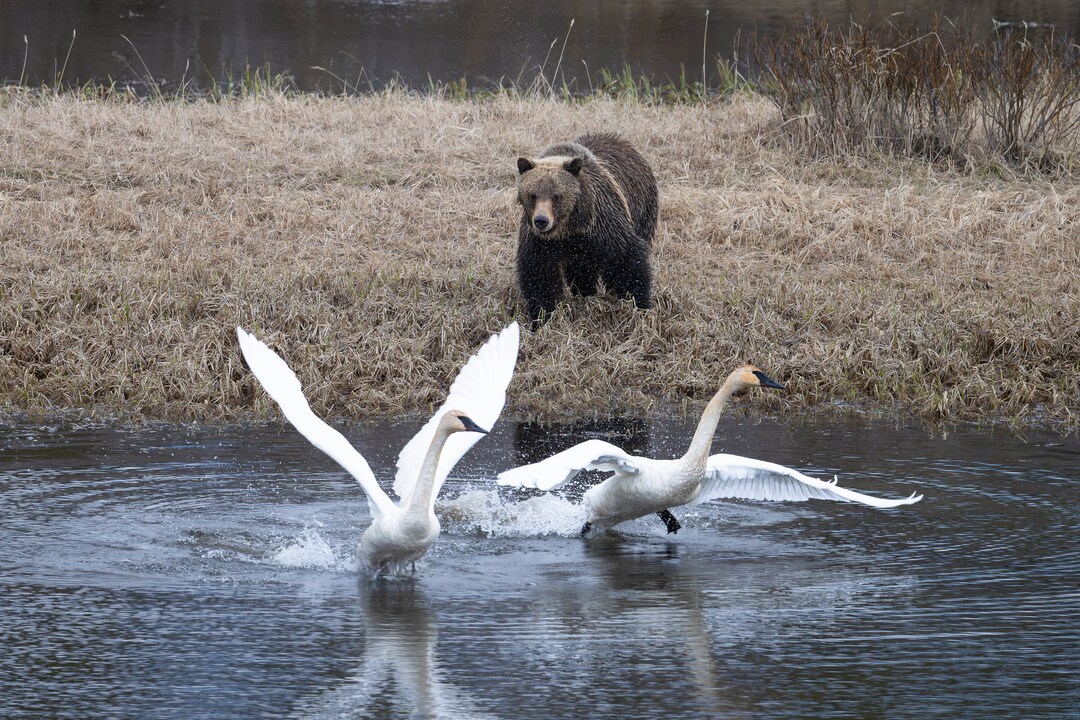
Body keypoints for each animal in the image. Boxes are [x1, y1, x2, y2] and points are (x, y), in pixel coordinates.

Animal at [515, 132, 658, 329]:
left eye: (556, 196)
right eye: (532, 195)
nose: (541, 221)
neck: (569, 228)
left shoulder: (604, 224)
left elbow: (627, 261)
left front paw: (639, 306)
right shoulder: (540, 243)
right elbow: (539, 275)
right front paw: (542, 318)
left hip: (642, 209)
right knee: (581, 271)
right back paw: (585, 292)